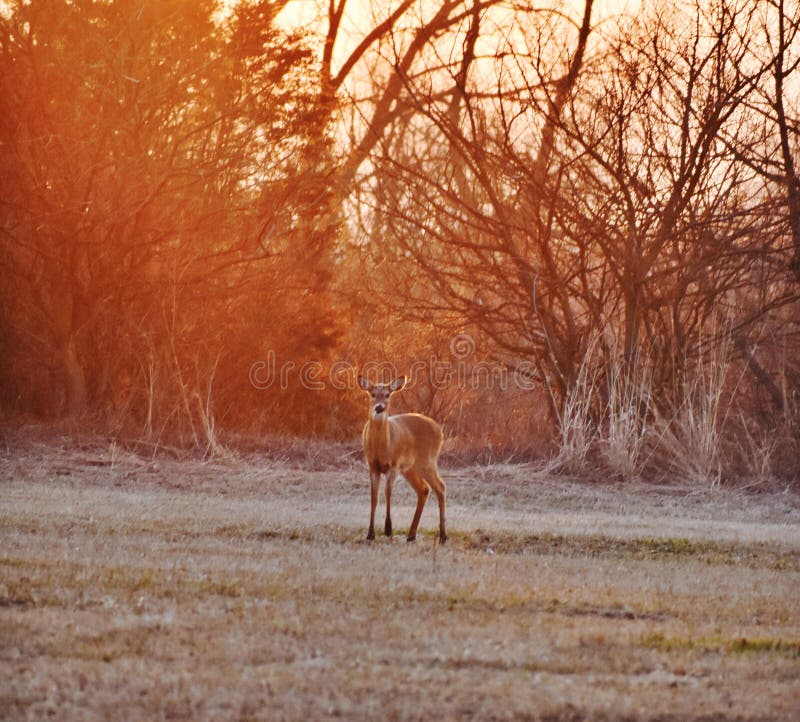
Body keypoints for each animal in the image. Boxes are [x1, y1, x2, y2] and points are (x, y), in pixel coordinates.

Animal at [357, 374, 447, 544]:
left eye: (387, 394)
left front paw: (388, 529)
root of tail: (439, 430)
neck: (381, 446)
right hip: (411, 468)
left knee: (440, 486)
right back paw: (411, 535)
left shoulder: (394, 465)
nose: (379, 407)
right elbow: (374, 497)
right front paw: (370, 534)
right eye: (372, 394)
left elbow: (387, 492)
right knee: (424, 489)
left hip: (428, 461)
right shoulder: (372, 466)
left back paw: (443, 536)